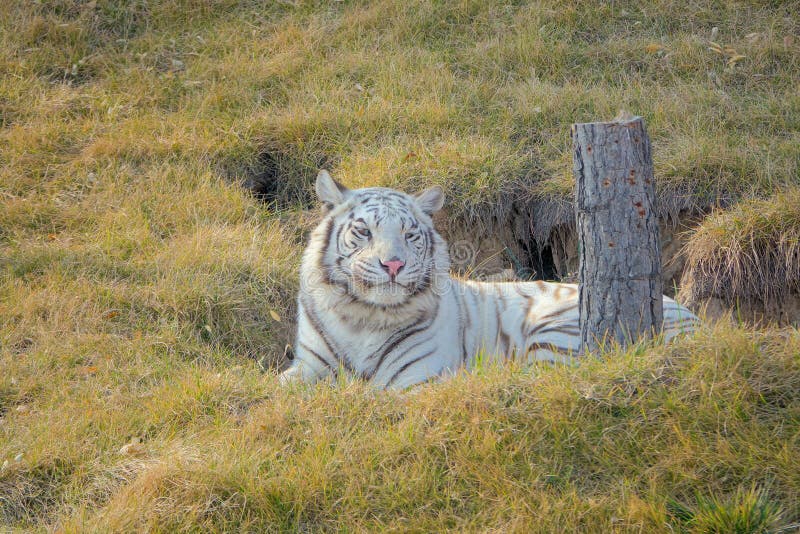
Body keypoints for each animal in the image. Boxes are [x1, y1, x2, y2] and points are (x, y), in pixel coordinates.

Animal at [280, 170, 699, 390]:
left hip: (555, 331)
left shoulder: (414, 378)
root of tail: (696, 319)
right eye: (364, 231)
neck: (364, 317)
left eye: (410, 235)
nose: (394, 265)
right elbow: (278, 390)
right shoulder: (308, 366)